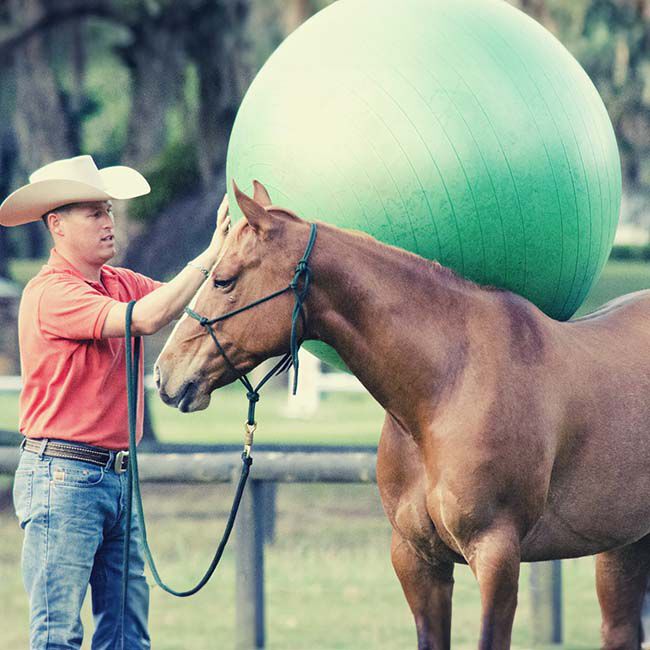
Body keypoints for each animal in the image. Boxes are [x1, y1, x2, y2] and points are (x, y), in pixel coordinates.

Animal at [154, 181, 650, 650]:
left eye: (223, 280)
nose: (165, 373)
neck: (446, 389)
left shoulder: (496, 555)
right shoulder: (417, 560)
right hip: (623, 548)